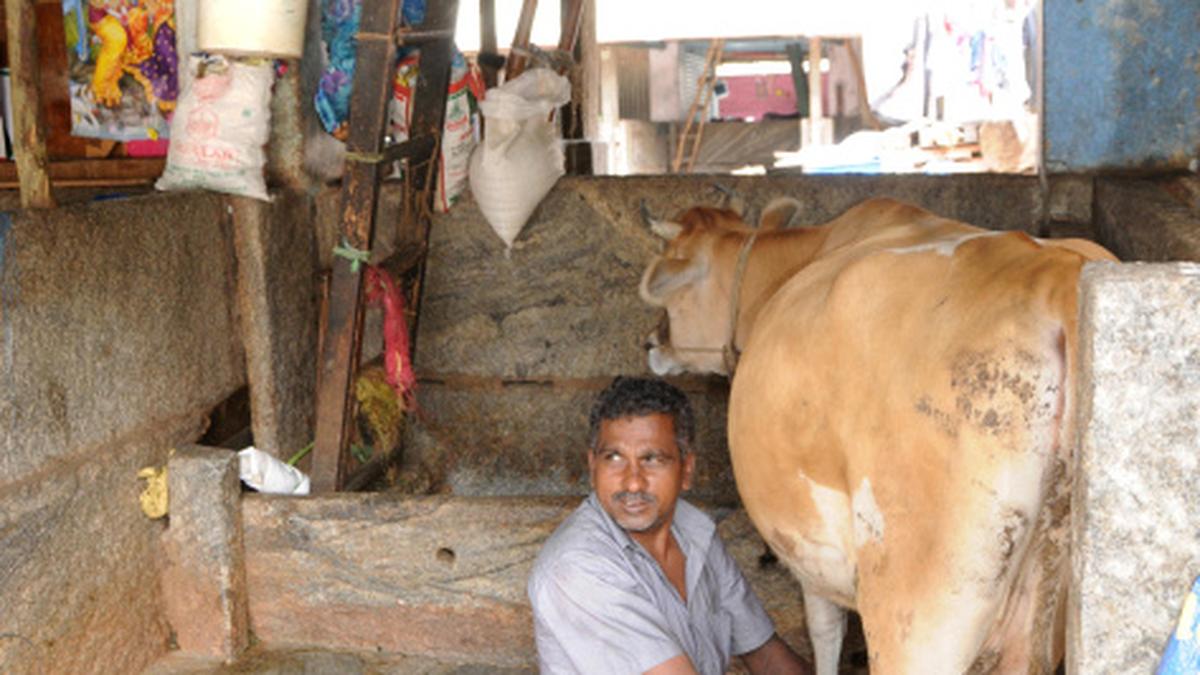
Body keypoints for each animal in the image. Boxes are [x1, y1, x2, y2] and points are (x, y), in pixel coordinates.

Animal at [637, 197, 1118, 675]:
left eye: (676, 291)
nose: (650, 341)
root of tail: (1058, 272)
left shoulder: (810, 554)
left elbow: (824, 632)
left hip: (914, 602)